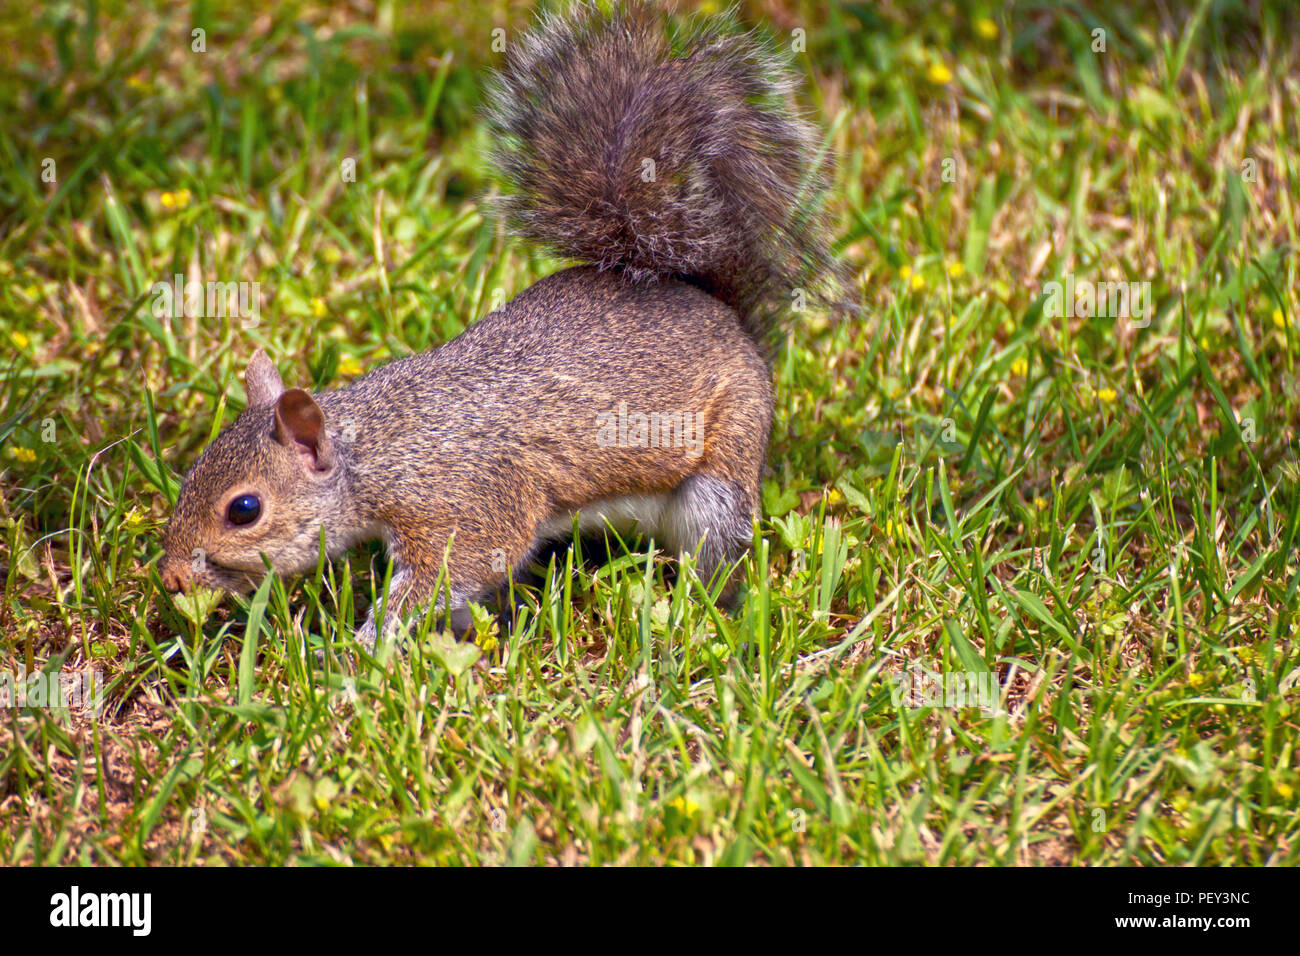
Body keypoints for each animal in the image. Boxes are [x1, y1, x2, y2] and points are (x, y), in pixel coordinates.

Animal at [158, 1, 841, 648]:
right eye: (191, 472)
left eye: (244, 510)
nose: (170, 577)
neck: (374, 452)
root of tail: (722, 313)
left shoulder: (464, 508)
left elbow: (448, 575)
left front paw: (358, 651)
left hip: (722, 470)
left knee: (716, 552)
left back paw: (700, 608)